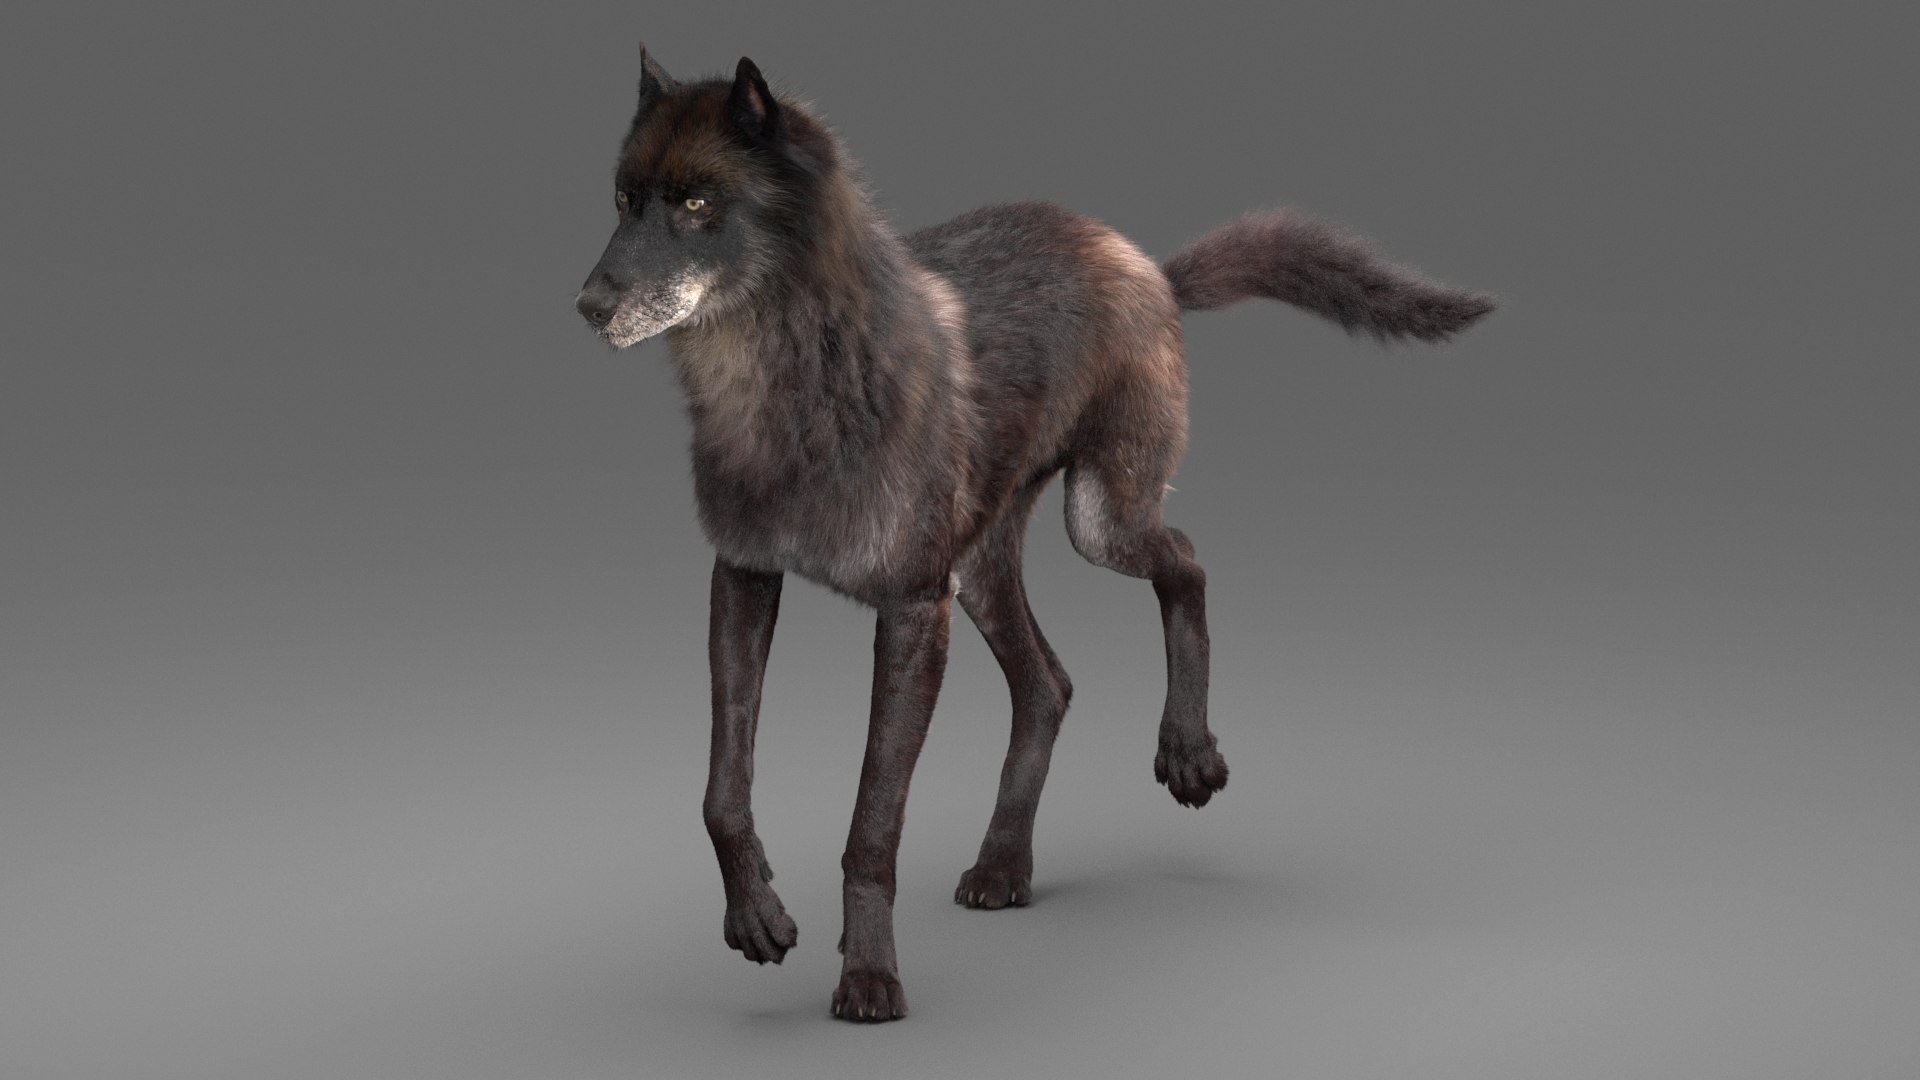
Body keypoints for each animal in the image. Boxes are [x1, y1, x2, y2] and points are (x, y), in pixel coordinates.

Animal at [575, 48, 1495, 1022]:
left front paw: (869, 976)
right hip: (982, 572)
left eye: (697, 202)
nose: (588, 304)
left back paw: (1188, 752)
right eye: (623, 200)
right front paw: (756, 918)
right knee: (1049, 685)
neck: (788, 388)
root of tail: (1150, 266)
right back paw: (1003, 864)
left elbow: (872, 827)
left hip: (1097, 523)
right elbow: (723, 788)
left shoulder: (912, 610)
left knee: (1188, 563)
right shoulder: (744, 575)